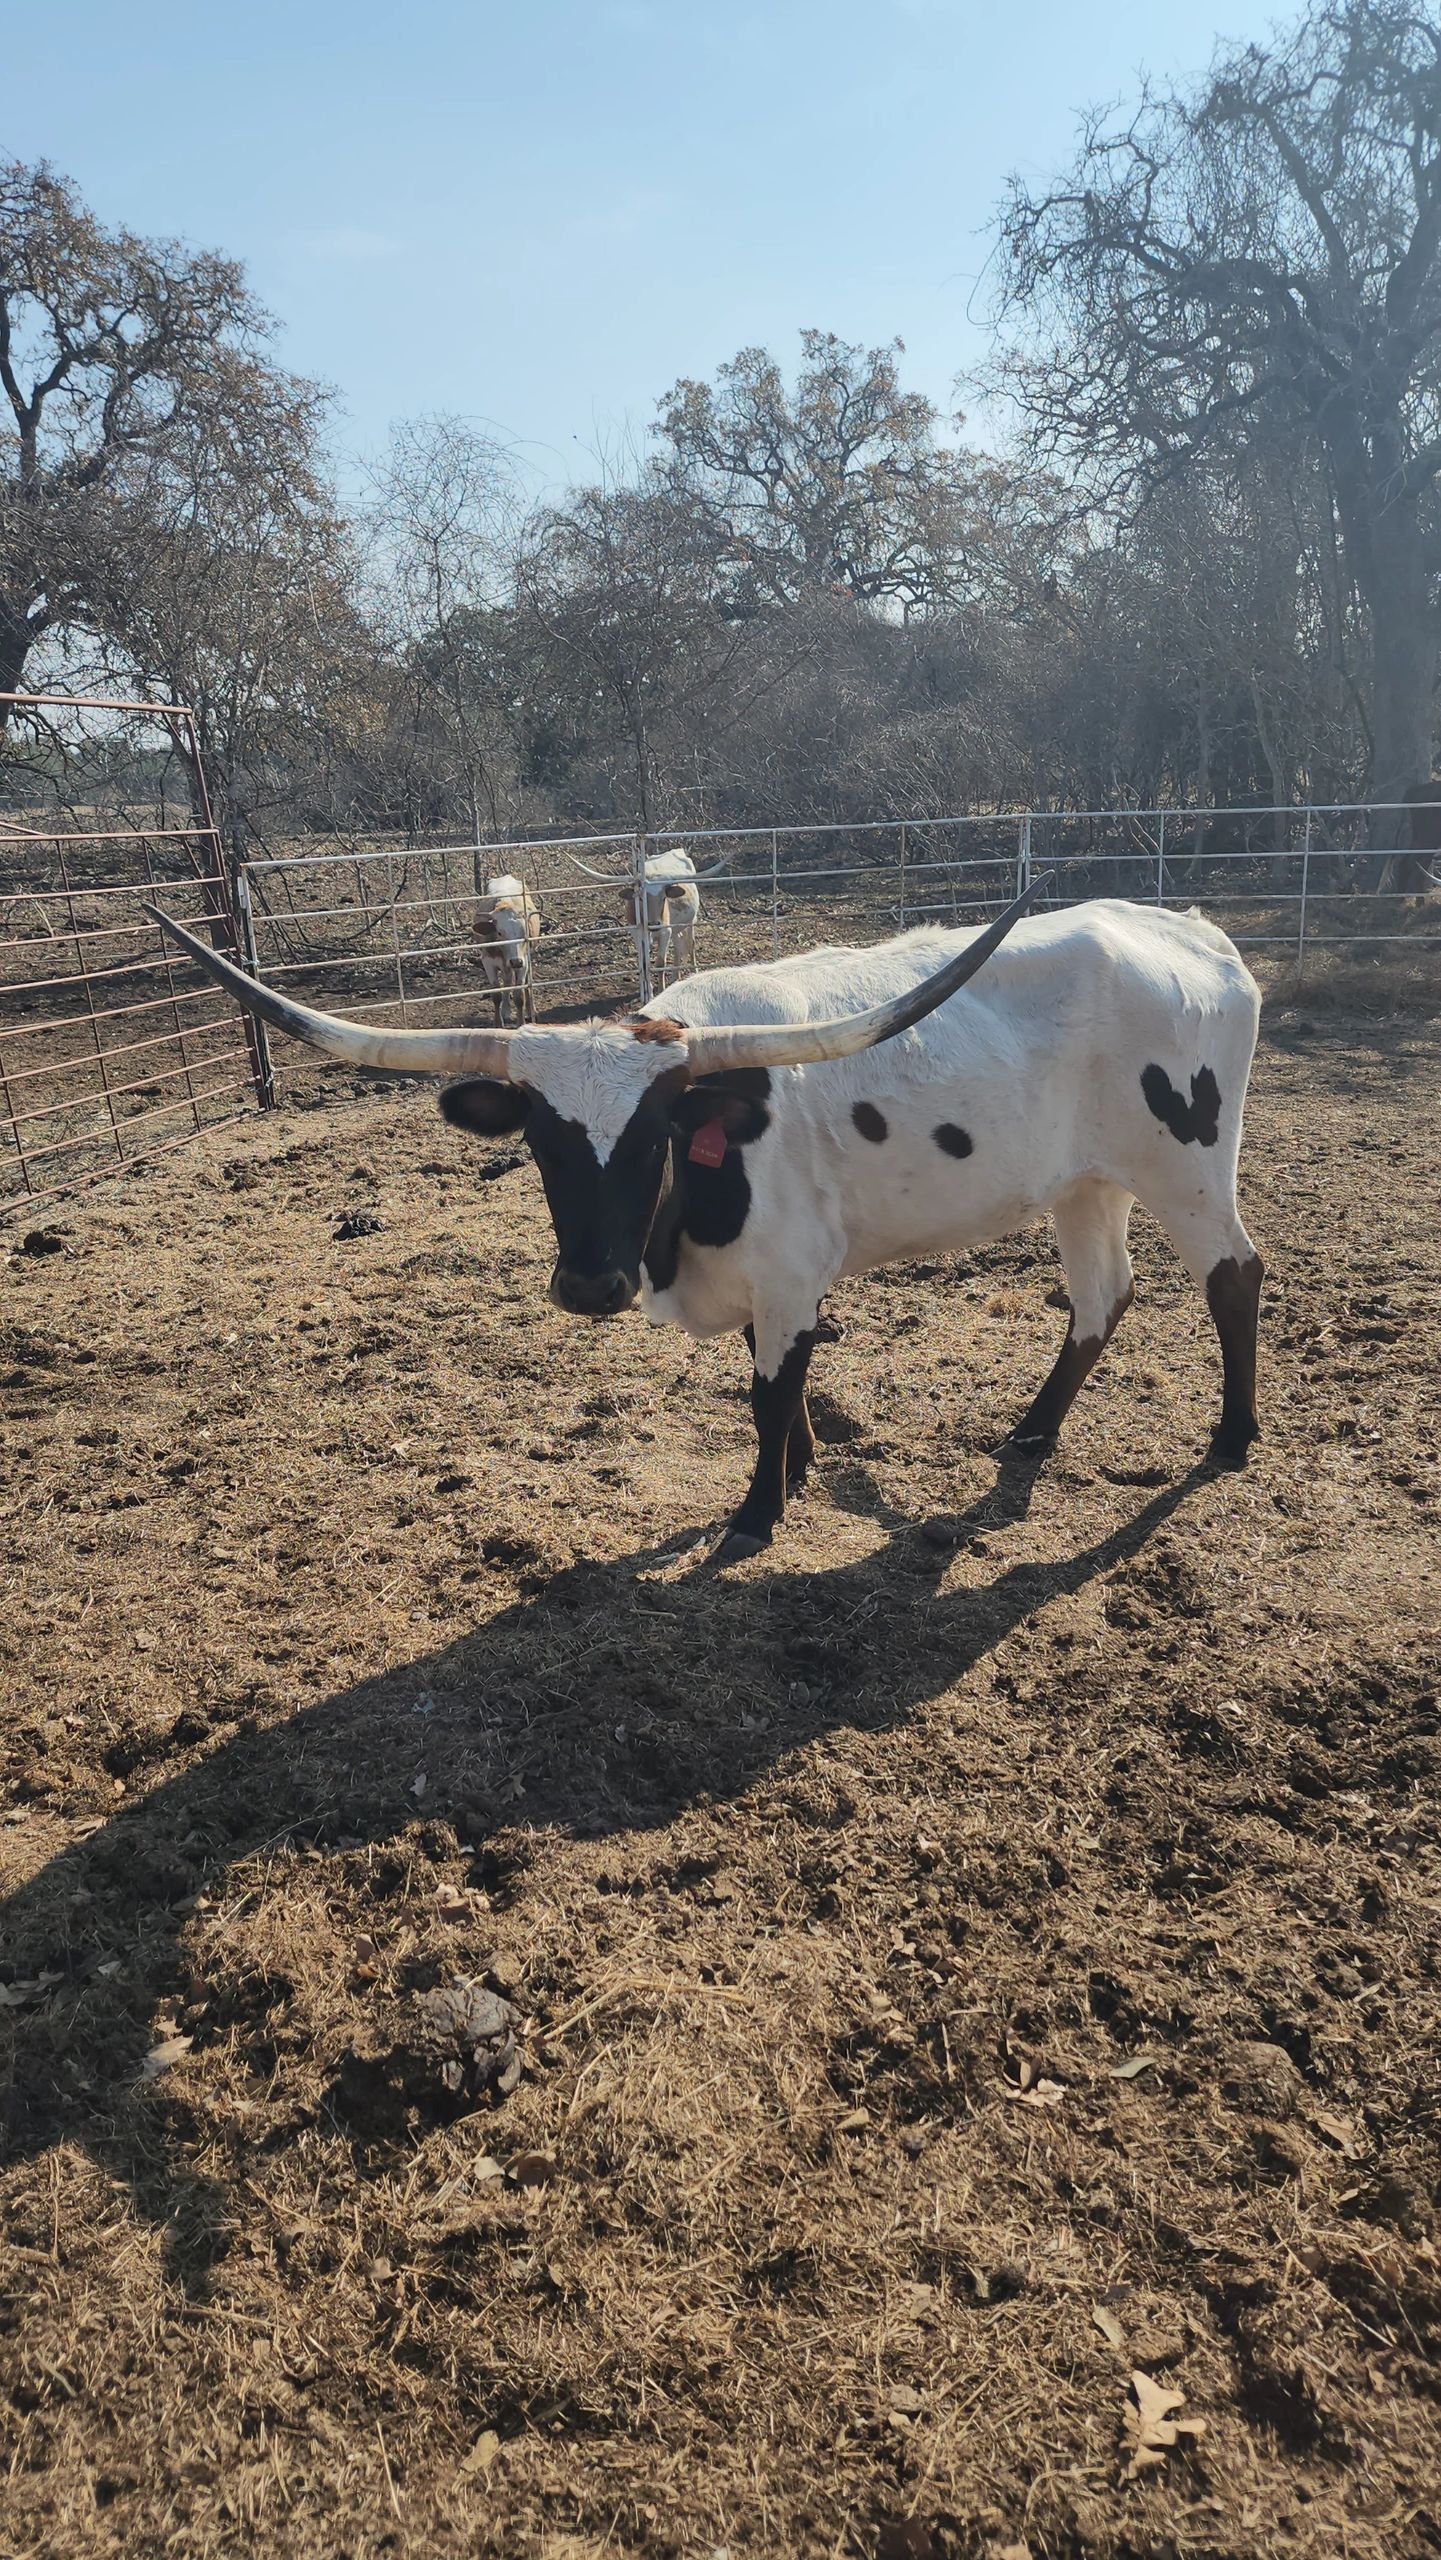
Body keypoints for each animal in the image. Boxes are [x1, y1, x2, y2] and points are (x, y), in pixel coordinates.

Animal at [145, 890, 1264, 1561]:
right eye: (543, 1142)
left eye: (653, 1139)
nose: (590, 1285)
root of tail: (1188, 931)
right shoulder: (771, 1284)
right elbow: (779, 1382)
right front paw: (802, 1469)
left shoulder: (790, 1273)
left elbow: (768, 1394)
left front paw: (759, 1511)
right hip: (1087, 1181)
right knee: (1100, 1296)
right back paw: (1032, 1429)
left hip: (1188, 1166)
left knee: (1232, 1277)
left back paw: (1232, 1437)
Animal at [472, 874, 542, 1024]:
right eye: (499, 933)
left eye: (525, 932)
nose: (515, 961)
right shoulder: (488, 962)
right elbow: (496, 994)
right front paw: (498, 1023)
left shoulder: (523, 961)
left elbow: (519, 995)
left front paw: (521, 1023)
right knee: (507, 980)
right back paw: (506, 1011)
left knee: (524, 983)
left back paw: (530, 1011)